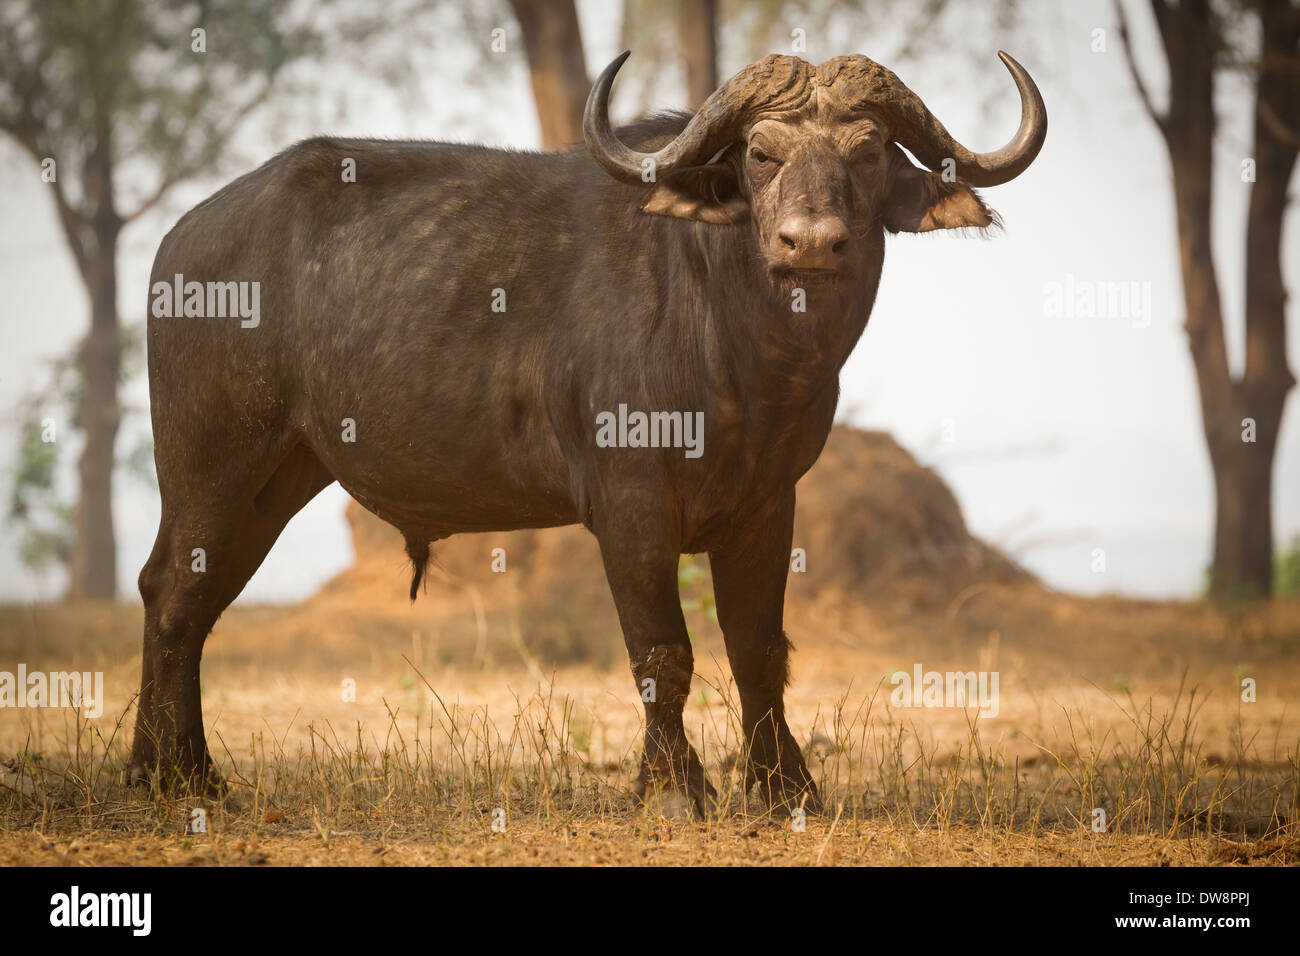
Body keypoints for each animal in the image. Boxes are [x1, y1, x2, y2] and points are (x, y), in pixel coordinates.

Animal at [130, 50, 1045, 817]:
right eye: (761, 153)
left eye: (866, 152)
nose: (811, 243)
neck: (736, 343)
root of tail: (182, 241)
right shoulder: (631, 504)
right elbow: (662, 653)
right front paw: (674, 790)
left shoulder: (767, 504)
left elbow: (757, 651)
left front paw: (787, 789)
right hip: (212, 460)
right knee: (174, 593)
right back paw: (179, 780)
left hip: (275, 477)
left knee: (190, 597)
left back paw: (169, 769)